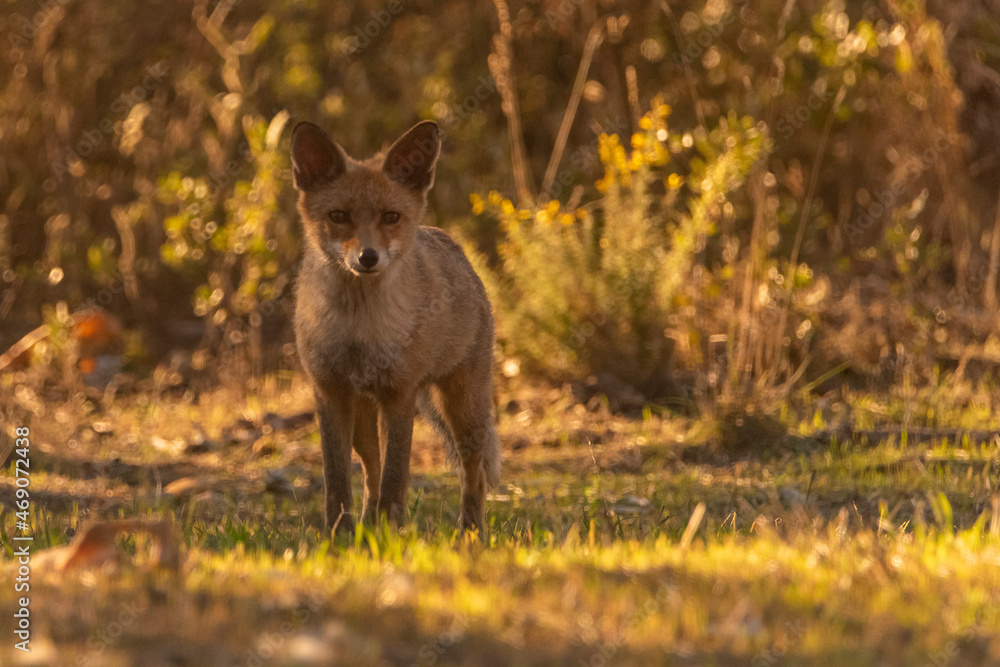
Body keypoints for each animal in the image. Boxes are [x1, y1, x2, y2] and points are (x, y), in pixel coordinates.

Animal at [290, 119, 501, 536]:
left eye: (390, 217)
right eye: (338, 216)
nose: (367, 257)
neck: (359, 329)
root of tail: (446, 237)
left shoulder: (399, 394)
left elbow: (396, 477)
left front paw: (393, 532)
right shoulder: (330, 393)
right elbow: (338, 480)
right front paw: (339, 536)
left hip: (464, 410)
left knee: (474, 476)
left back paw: (470, 534)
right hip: (363, 416)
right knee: (370, 470)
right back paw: (368, 527)